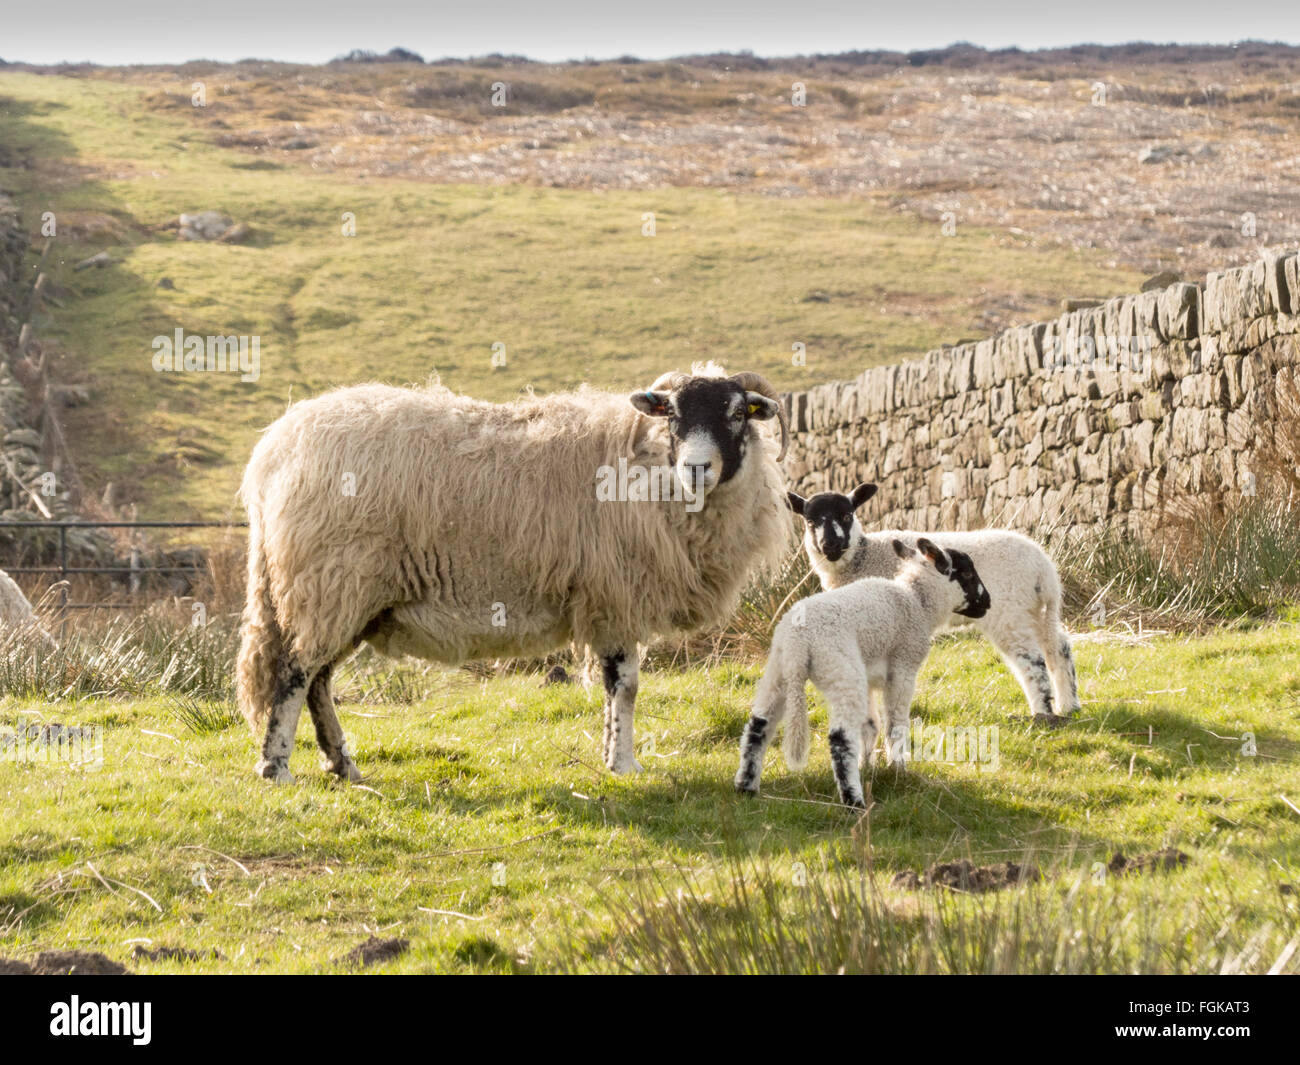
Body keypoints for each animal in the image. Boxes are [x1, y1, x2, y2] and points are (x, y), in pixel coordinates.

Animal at [236, 364, 793, 783]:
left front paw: (612, 755)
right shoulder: (614, 597)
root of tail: (274, 450)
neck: (650, 469)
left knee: (318, 681)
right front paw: (624, 764)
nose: (697, 467)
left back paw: (342, 764)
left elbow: (615, 688)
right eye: (673, 415)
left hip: (345, 596)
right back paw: (276, 767)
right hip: (327, 581)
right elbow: (626, 686)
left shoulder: (608, 600)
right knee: (294, 673)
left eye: (737, 414)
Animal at [735, 538, 990, 807]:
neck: (918, 601)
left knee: (758, 726)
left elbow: (870, 725)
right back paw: (854, 800)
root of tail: (798, 641)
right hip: (841, 670)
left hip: (779, 671)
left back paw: (746, 787)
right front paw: (898, 770)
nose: (988, 602)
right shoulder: (903, 666)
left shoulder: (867, 675)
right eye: (967, 573)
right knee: (840, 738)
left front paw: (868, 766)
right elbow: (895, 724)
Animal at [788, 482, 1080, 722]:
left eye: (847, 515)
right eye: (810, 521)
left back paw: (1042, 713)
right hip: (1037, 612)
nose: (831, 546)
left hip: (1010, 614)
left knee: (1032, 660)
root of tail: (1044, 569)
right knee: (1059, 648)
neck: (863, 557)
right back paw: (1069, 706)